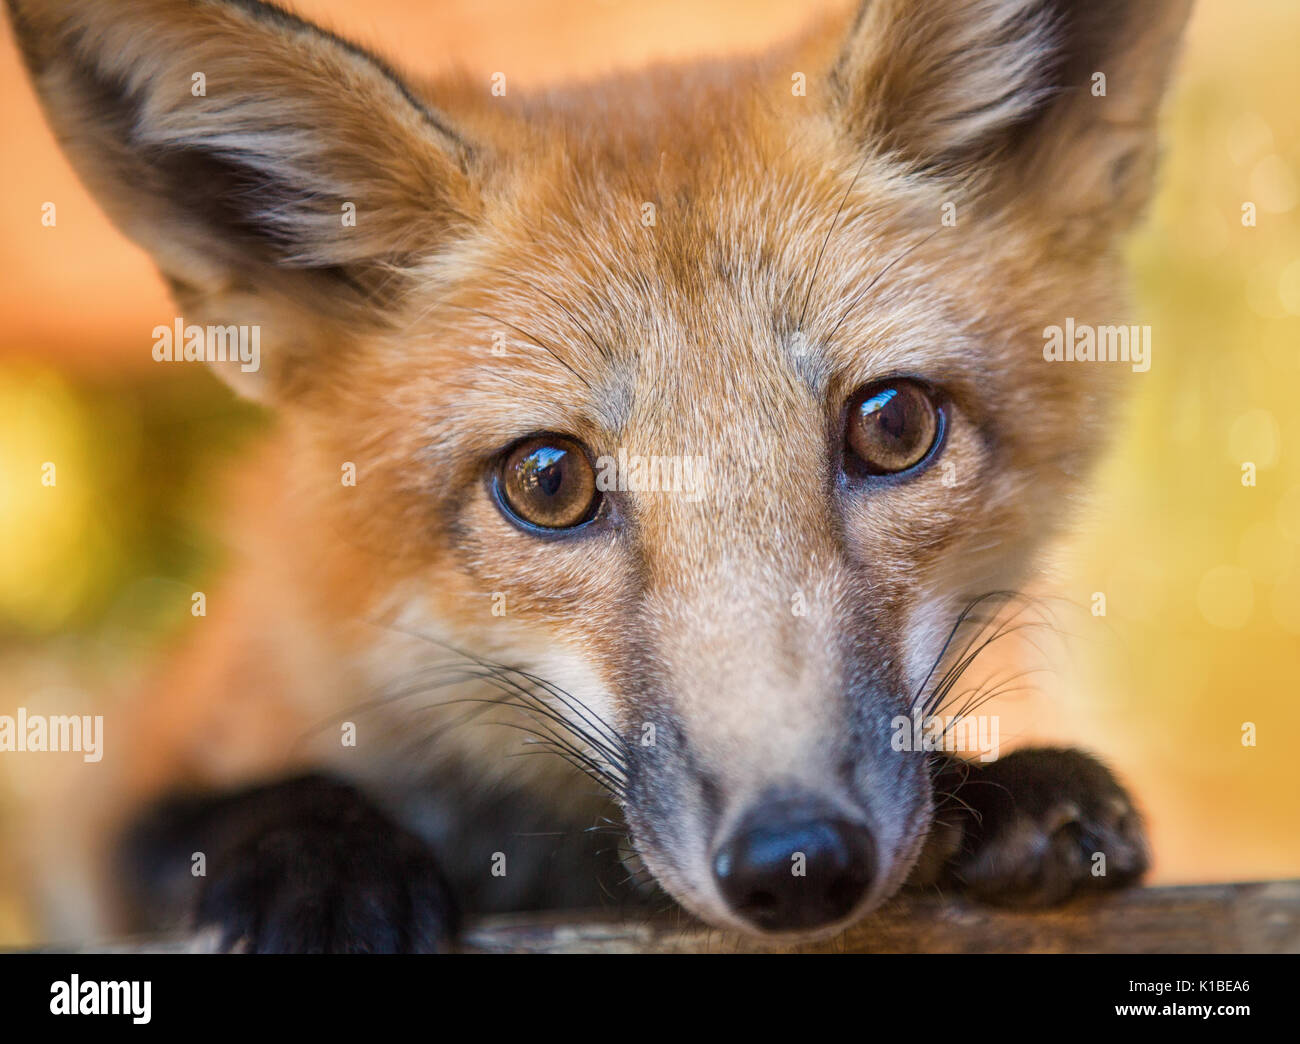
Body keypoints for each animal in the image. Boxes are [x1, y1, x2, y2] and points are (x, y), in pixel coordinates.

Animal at [8, 0, 1192, 950]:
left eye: (894, 425)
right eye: (547, 482)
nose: (798, 859)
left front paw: (995, 789)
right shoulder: (116, 778)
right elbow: (201, 821)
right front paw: (318, 863)